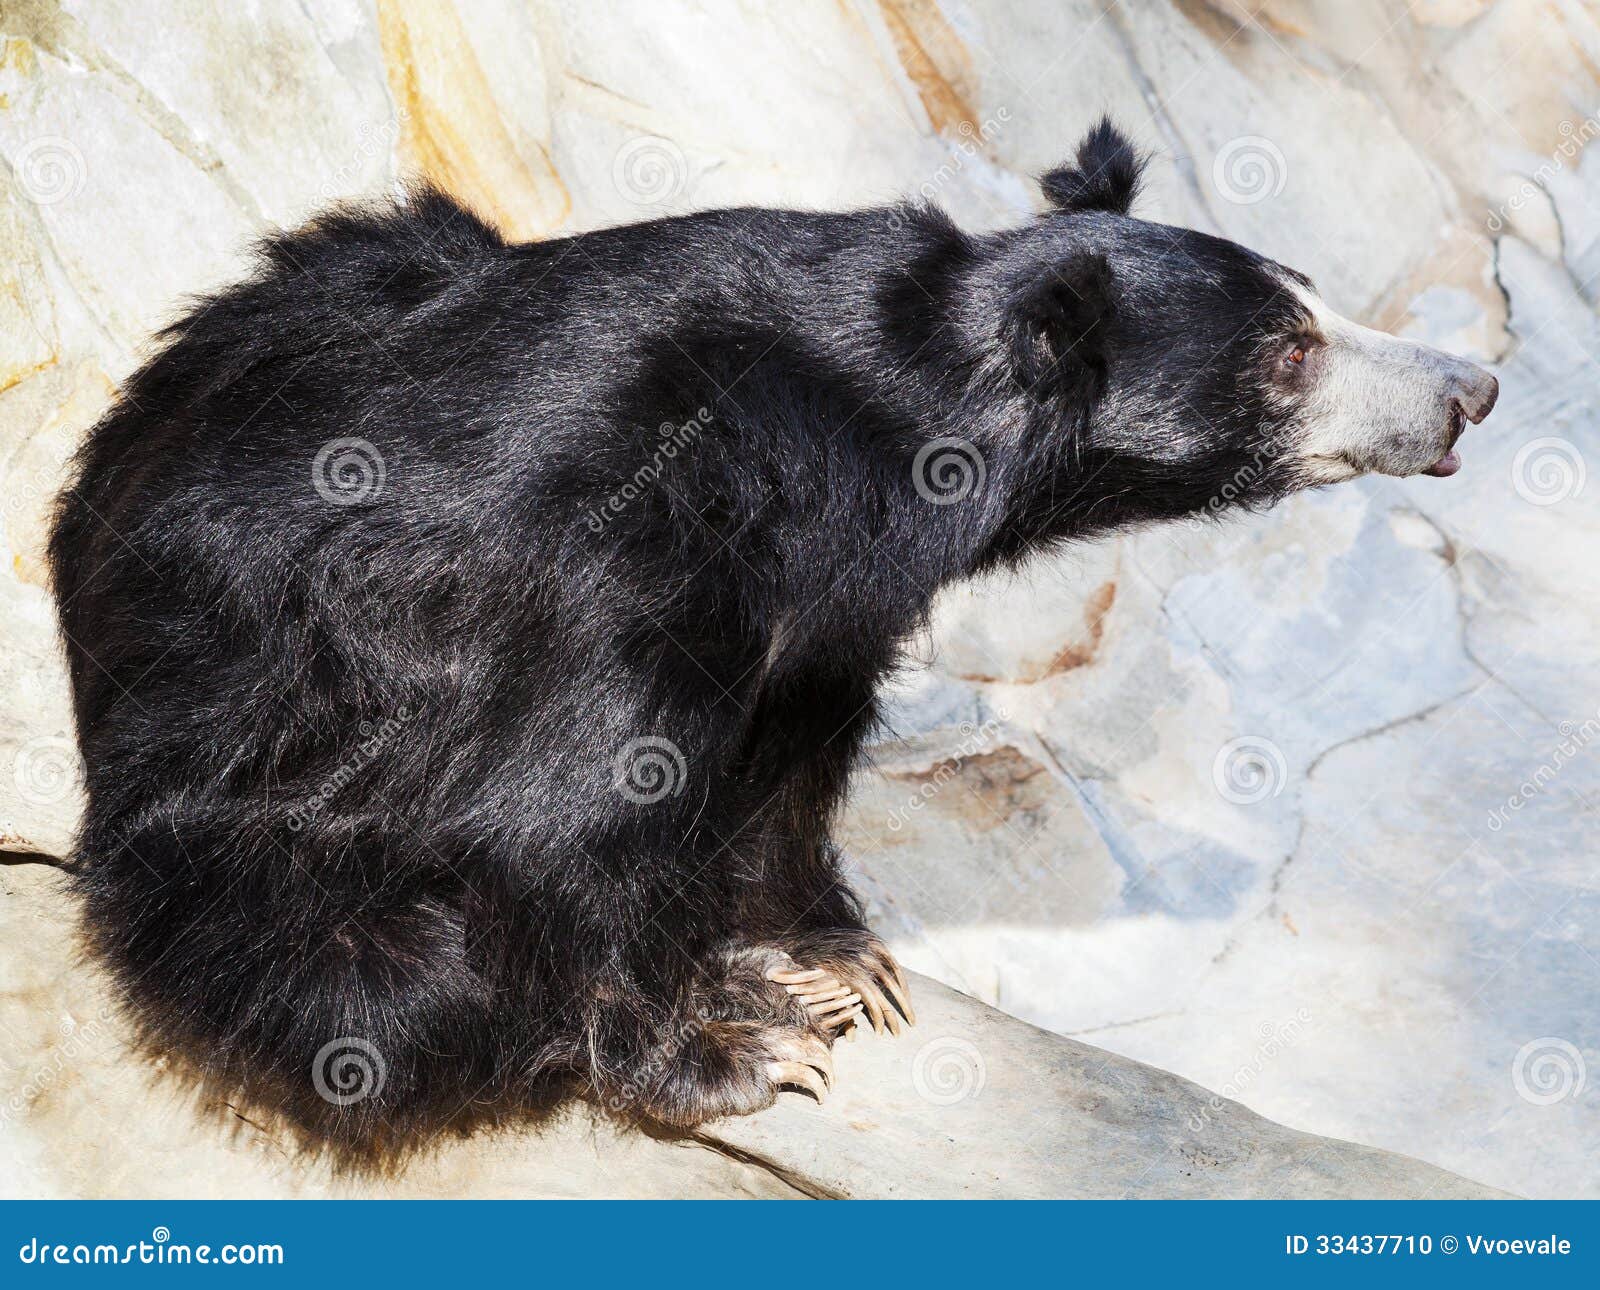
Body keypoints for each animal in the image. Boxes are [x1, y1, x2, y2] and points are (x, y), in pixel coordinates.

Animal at [47, 119, 1498, 1157]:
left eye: (1318, 307)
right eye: (1292, 352)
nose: (1472, 390)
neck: (892, 423)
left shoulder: (828, 596)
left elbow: (793, 738)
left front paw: (825, 956)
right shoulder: (620, 550)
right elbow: (566, 806)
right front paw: (734, 1054)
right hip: (251, 863)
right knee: (389, 992)